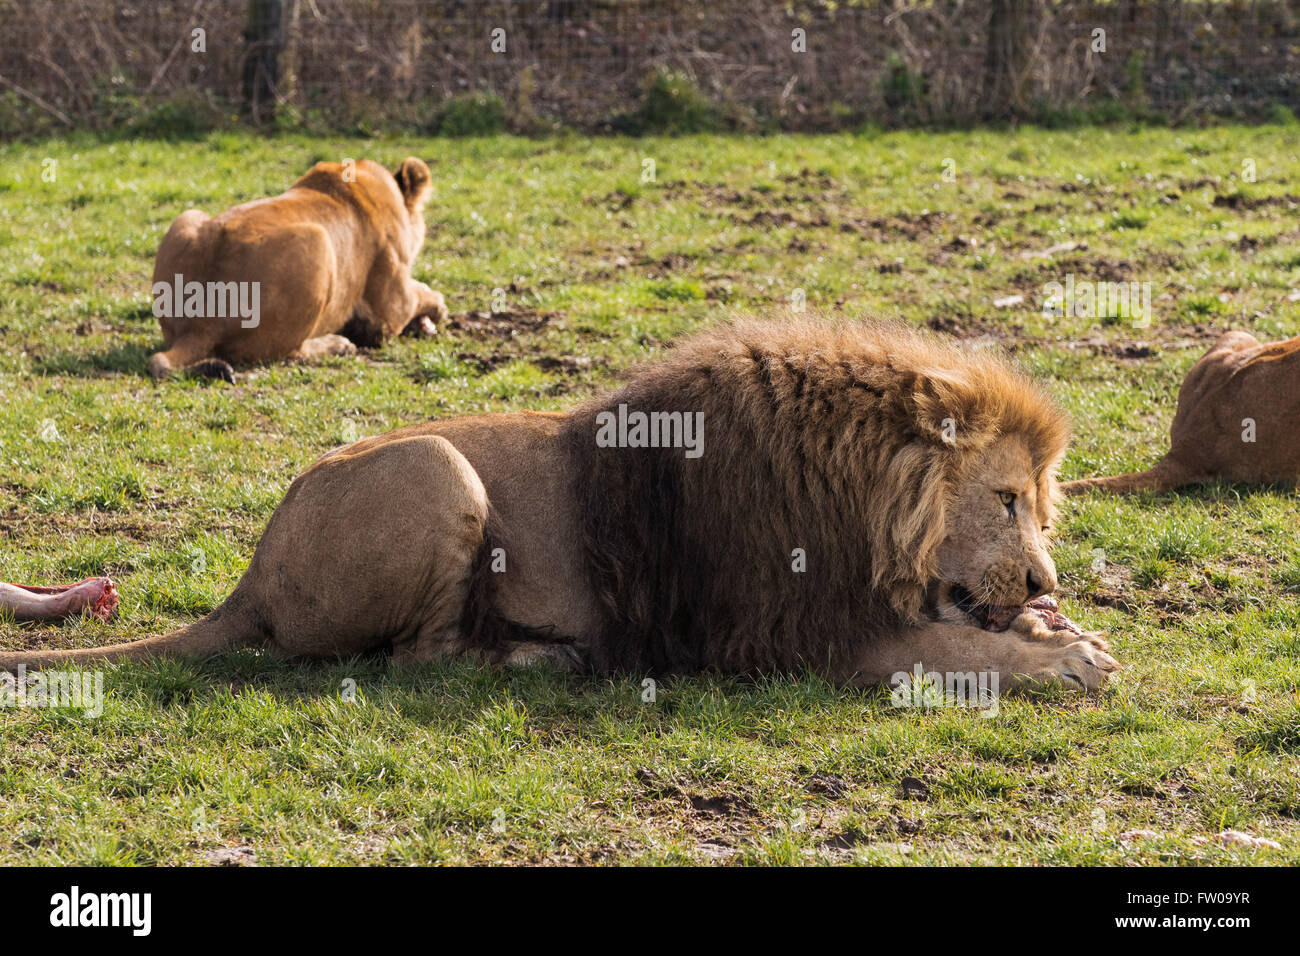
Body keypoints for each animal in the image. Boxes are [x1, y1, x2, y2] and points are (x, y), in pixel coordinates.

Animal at [2, 317, 1118, 691]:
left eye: (1042, 506)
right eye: (1005, 498)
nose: (1047, 578)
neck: (860, 492)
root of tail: (253, 573)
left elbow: (960, 626)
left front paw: (1058, 627)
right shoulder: (783, 630)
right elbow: (945, 647)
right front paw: (1067, 658)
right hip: (440, 473)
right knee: (420, 658)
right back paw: (544, 659)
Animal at [147, 157, 448, 382]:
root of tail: (201, 322)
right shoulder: (388, 311)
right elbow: (422, 295)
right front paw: (439, 308)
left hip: (188, 216)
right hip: (318, 240)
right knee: (286, 351)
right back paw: (337, 344)